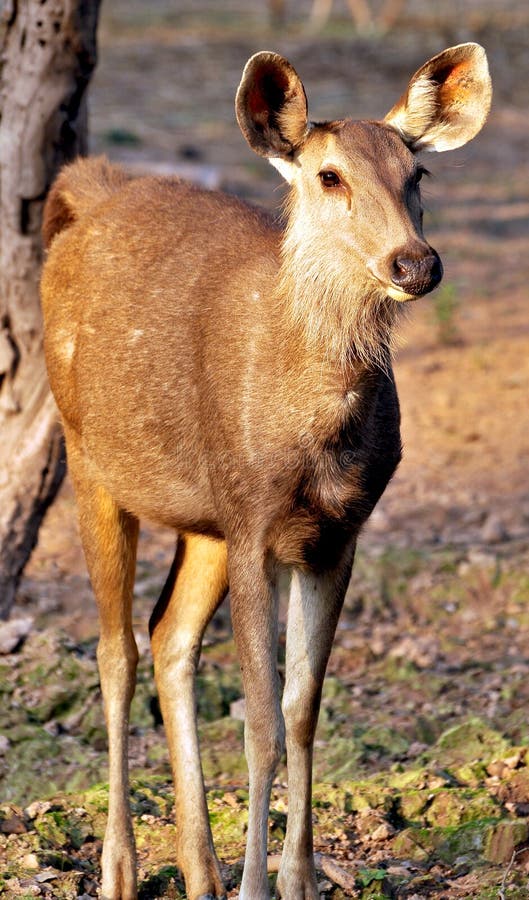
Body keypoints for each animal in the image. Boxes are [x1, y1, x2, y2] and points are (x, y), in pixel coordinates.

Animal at [40, 42, 491, 900]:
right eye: (329, 176)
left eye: (416, 173)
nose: (414, 262)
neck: (316, 433)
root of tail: (86, 191)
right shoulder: (253, 523)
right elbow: (259, 726)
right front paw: (260, 885)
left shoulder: (333, 532)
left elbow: (301, 709)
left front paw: (299, 878)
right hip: (90, 461)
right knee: (116, 651)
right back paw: (122, 866)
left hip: (204, 521)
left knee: (169, 635)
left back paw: (198, 866)